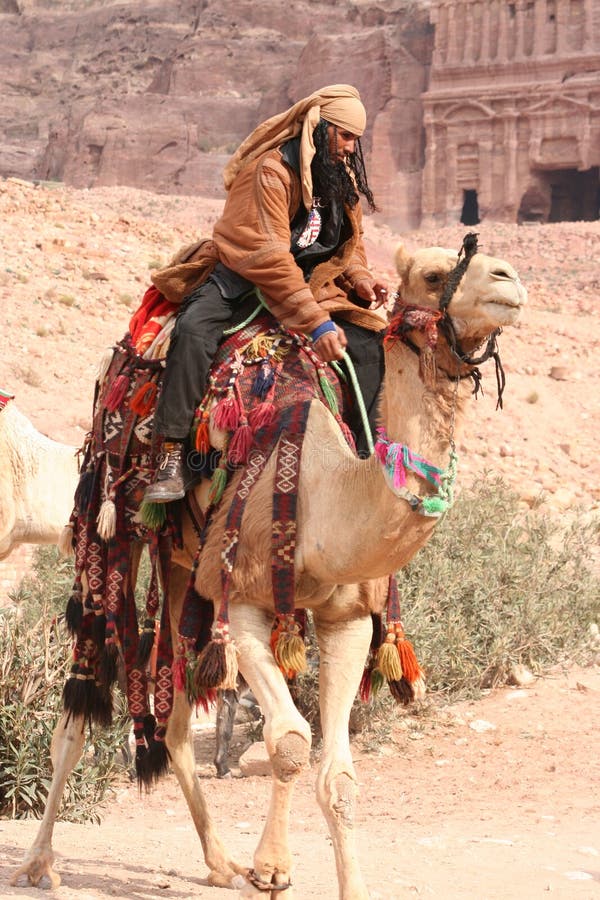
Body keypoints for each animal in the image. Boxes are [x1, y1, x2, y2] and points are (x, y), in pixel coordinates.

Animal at [12, 237, 526, 898]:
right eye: (435, 275)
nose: (510, 281)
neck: (321, 487)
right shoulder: (245, 600)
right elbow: (289, 741)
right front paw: (273, 867)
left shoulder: (346, 617)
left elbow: (338, 775)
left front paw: (315, 877)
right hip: (109, 530)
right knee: (77, 709)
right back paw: (39, 861)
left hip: (183, 566)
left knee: (175, 724)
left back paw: (219, 862)